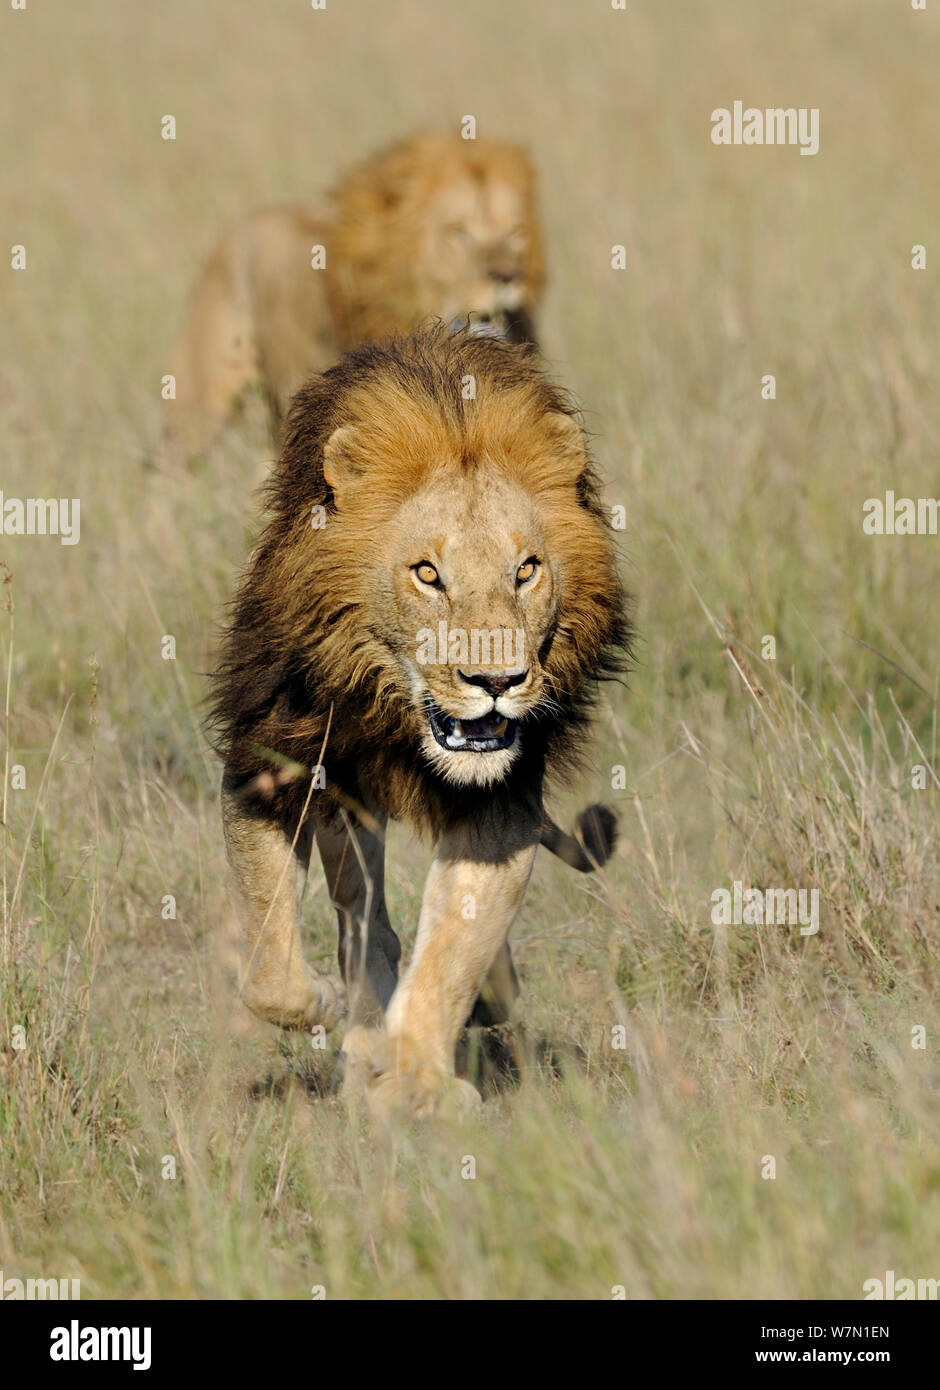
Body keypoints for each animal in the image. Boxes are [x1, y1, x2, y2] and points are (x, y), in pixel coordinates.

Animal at [211, 325, 630, 1118]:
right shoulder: (266, 762)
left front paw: (416, 1084)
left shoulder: (502, 801)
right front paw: (326, 1004)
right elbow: (264, 959)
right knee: (361, 918)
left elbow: (453, 948)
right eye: (427, 574)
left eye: (526, 569)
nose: (496, 683)